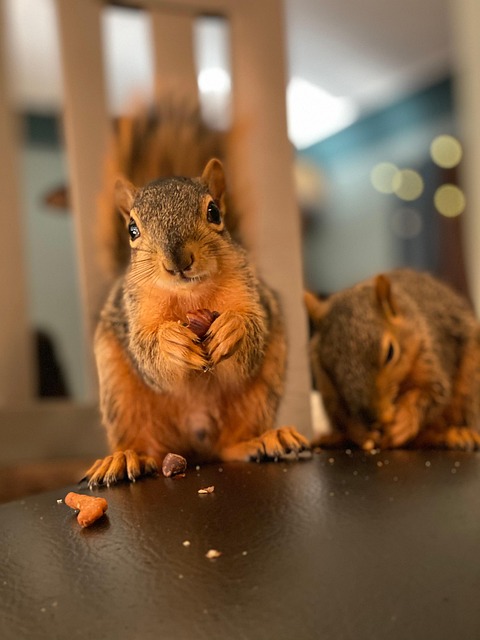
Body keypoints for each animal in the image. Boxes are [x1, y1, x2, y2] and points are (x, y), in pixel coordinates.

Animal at [85, 158, 308, 486]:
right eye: (132, 229)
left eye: (213, 212)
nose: (177, 261)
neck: (189, 295)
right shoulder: (134, 313)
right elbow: (148, 359)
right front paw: (172, 342)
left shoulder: (250, 291)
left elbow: (251, 341)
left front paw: (233, 329)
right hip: (121, 396)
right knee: (146, 447)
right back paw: (125, 458)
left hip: (260, 392)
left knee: (229, 445)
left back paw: (263, 440)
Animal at [304, 268, 480, 451]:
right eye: (328, 366)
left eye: (390, 352)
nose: (373, 418)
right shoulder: (327, 385)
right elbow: (341, 414)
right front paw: (361, 432)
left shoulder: (429, 357)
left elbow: (433, 393)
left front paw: (403, 421)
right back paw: (331, 438)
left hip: (471, 380)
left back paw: (455, 435)